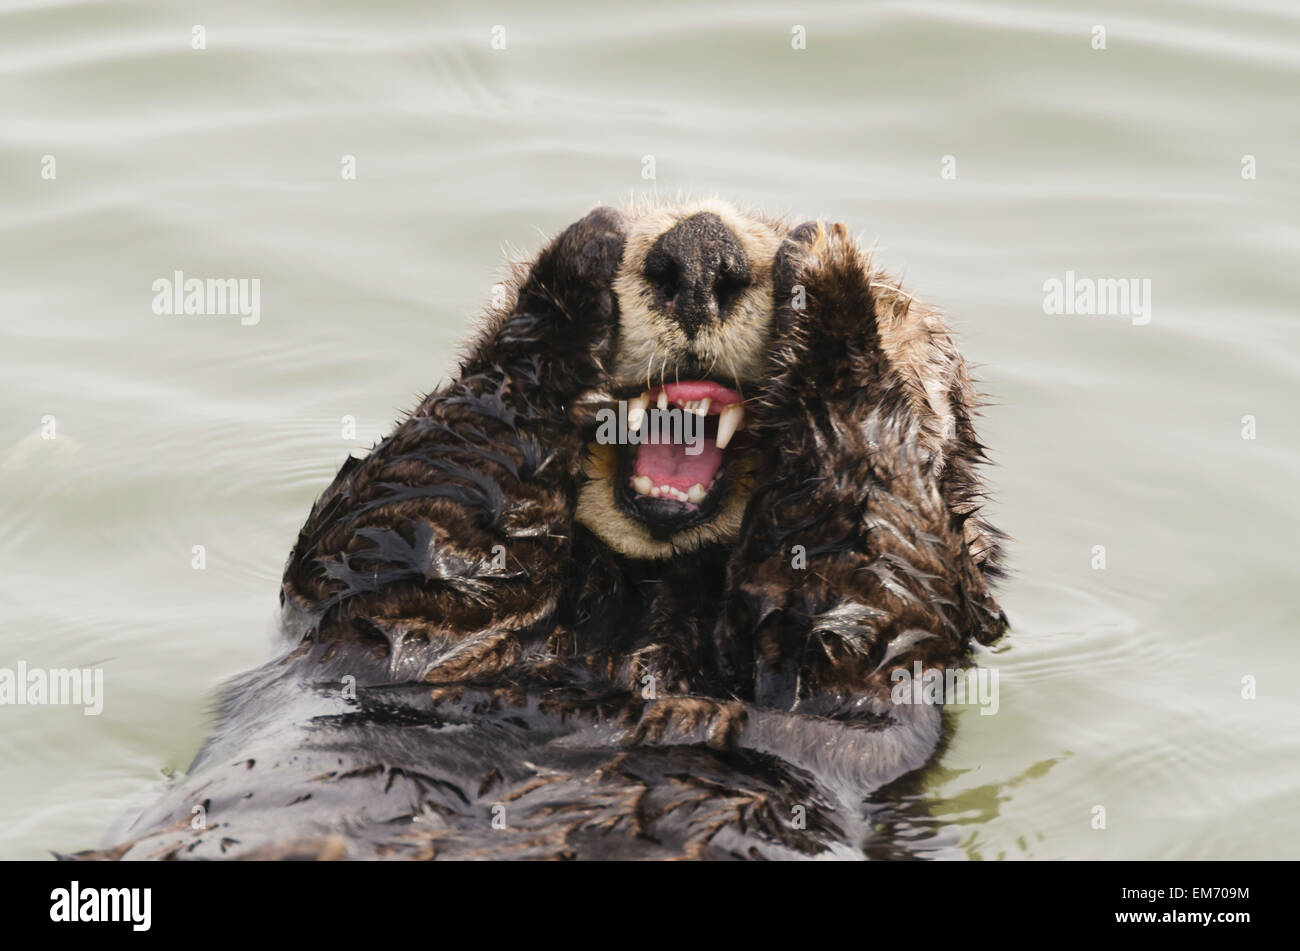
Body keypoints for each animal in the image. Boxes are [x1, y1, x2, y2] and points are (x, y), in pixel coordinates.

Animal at [74, 199, 1006, 860]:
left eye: (896, 303)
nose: (701, 249)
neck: (637, 616)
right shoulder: (395, 588)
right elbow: (438, 488)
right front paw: (582, 254)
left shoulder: (861, 659)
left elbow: (866, 567)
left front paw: (835, 278)